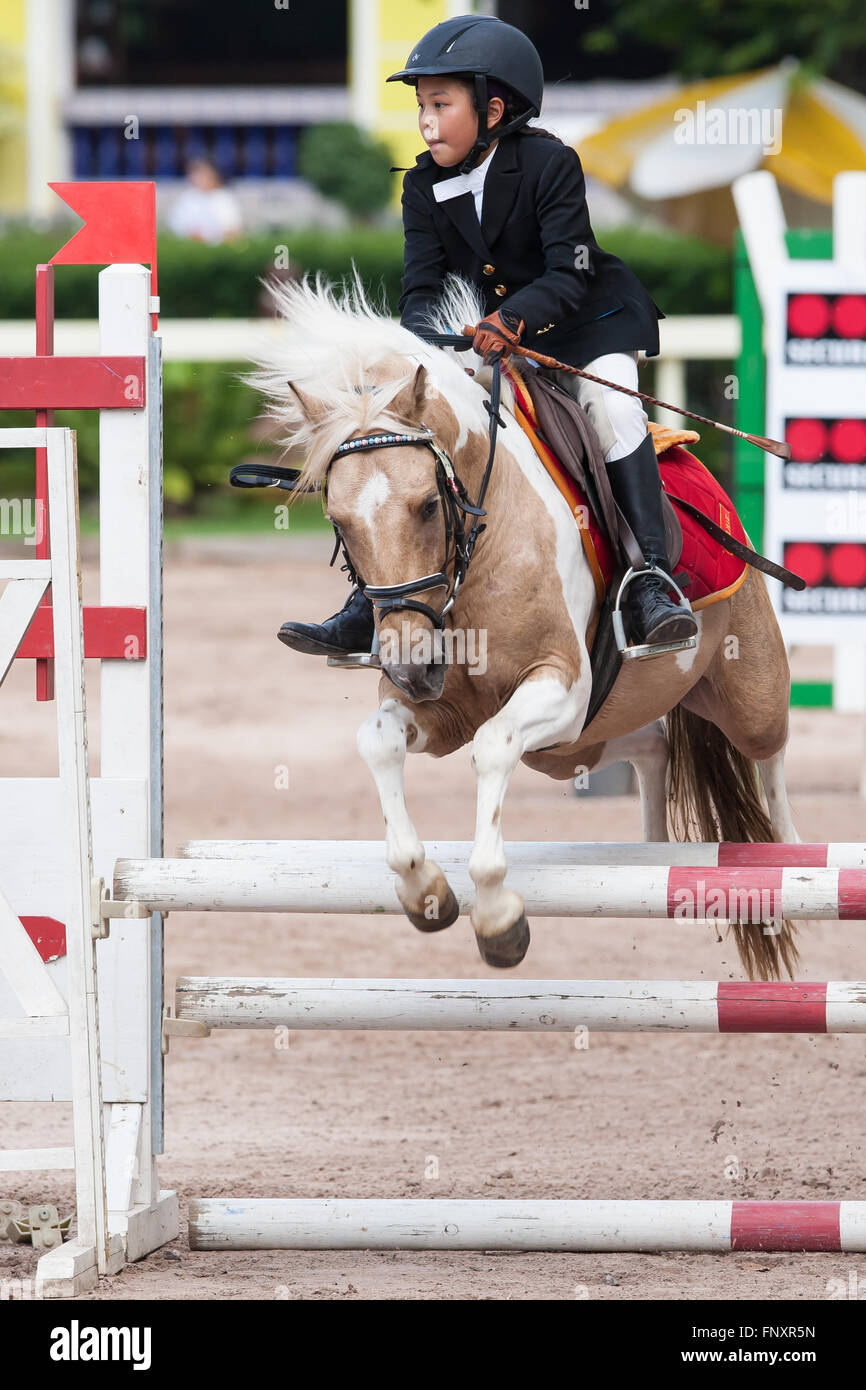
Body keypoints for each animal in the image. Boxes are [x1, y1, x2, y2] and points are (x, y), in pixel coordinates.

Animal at [248, 267, 799, 981]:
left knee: (770, 754)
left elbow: (490, 748)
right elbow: (379, 741)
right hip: (569, 749)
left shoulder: (559, 685)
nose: (409, 665)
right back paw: (651, 849)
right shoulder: (445, 710)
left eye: (428, 506)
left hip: (743, 691)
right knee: (649, 747)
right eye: (338, 521)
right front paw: (425, 890)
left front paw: (497, 918)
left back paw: (787, 865)